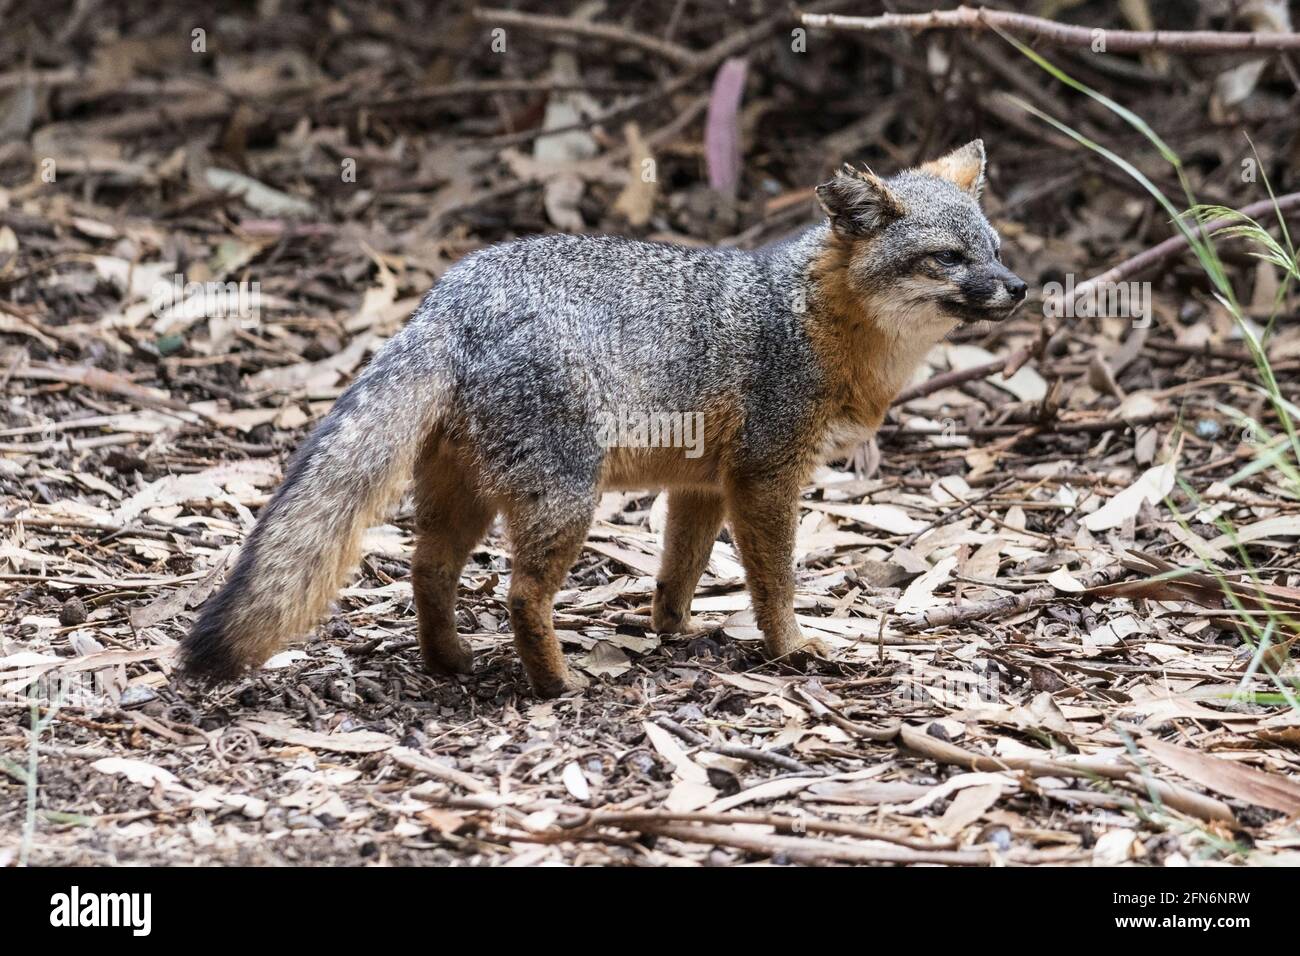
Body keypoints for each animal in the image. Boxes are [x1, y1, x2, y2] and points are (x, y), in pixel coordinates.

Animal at [180, 139, 1027, 698]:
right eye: (949, 258)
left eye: (992, 248)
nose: (1019, 287)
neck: (814, 314)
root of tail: (448, 299)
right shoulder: (766, 476)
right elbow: (775, 582)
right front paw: (790, 648)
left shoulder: (704, 483)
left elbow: (679, 568)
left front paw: (674, 630)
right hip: (565, 498)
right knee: (520, 594)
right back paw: (557, 684)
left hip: (469, 493)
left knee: (429, 570)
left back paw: (450, 662)